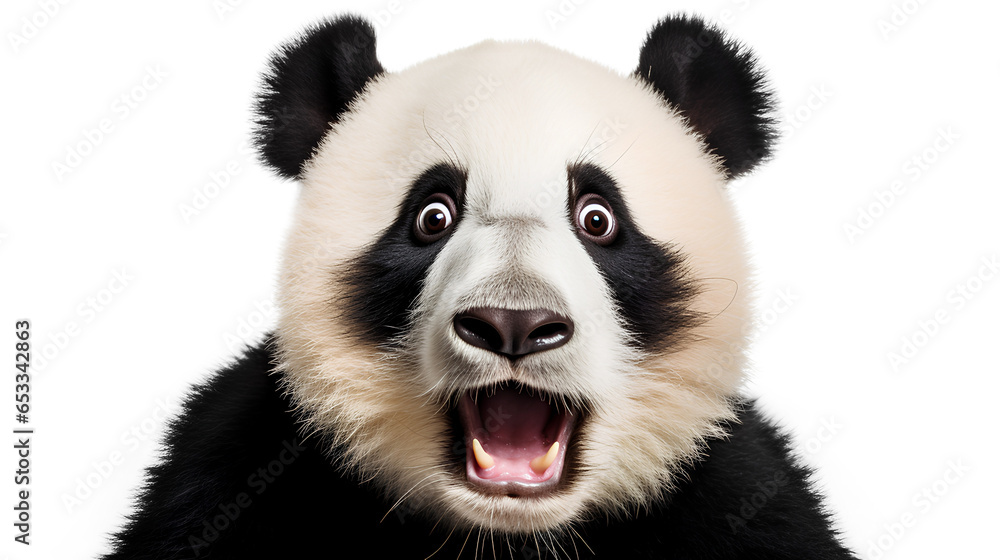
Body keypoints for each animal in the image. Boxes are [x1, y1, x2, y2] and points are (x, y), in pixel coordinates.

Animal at [105, 14, 856, 560]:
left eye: (598, 218)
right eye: (432, 216)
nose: (513, 325)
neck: (503, 536)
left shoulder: (739, 503)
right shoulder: (236, 477)